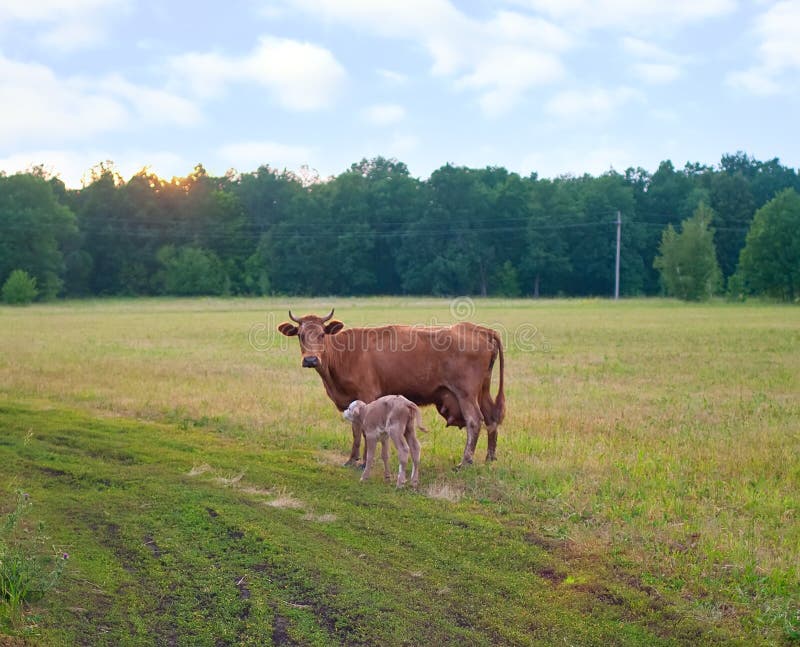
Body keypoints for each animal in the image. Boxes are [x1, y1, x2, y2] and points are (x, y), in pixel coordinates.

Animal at [277, 308, 505, 467]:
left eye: (322, 335)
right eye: (300, 335)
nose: (311, 360)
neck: (346, 354)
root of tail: (481, 329)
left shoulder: (367, 395)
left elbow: (363, 429)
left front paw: (363, 462)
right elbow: (355, 431)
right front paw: (352, 459)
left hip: (466, 394)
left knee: (474, 421)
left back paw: (465, 461)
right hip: (482, 391)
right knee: (491, 418)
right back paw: (490, 458)